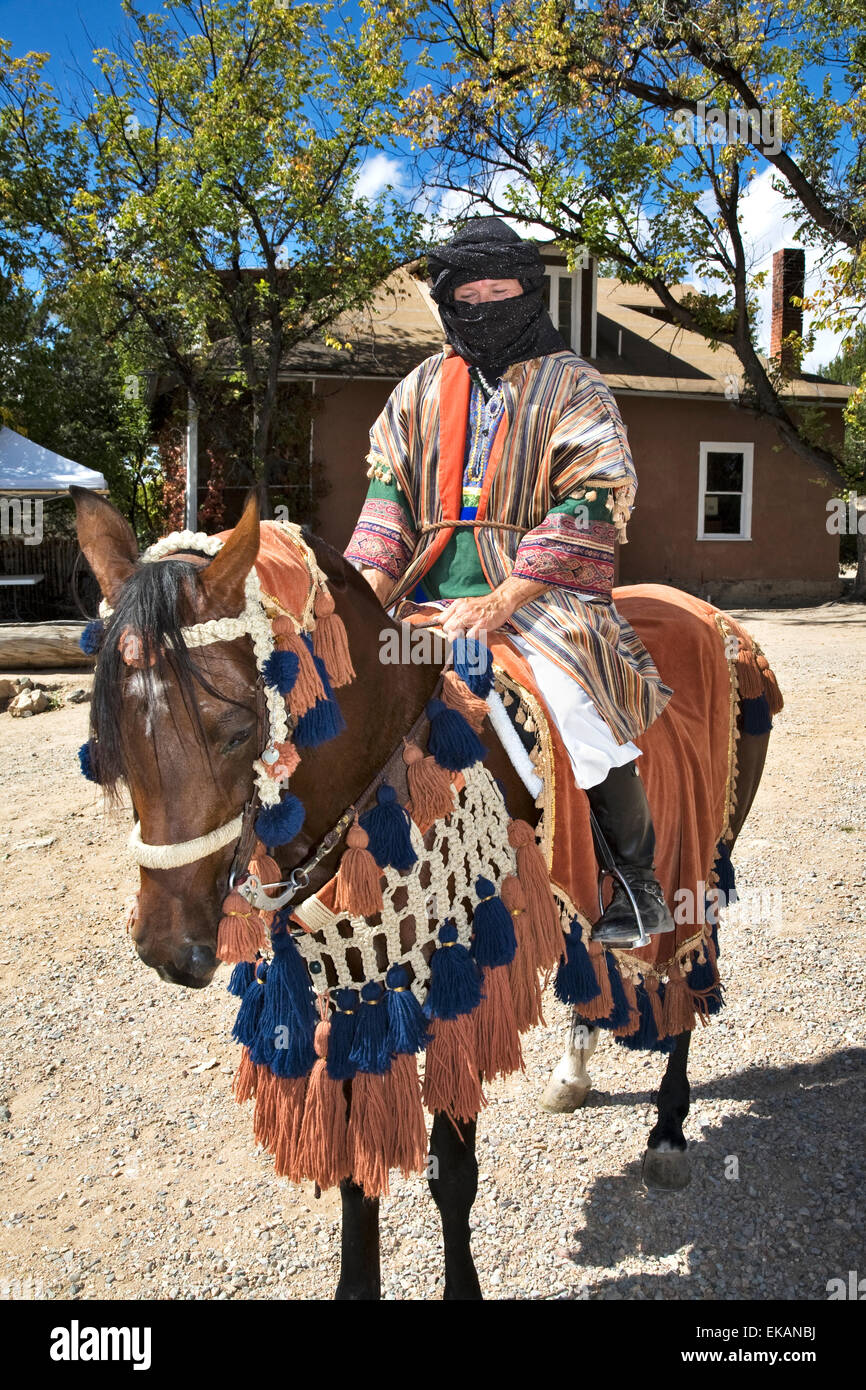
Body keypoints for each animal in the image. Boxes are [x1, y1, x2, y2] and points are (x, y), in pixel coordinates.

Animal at [72, 487, 772, 1301]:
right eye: (112, 735)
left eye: (236, 729)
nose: (165, 946)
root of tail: (705, 614)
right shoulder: (347, 994)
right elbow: (357, 1174)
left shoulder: (458, 984)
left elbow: (453, 1174)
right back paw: (574, 1071)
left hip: (701, 858)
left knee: (685, 975)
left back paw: (667, 1131)